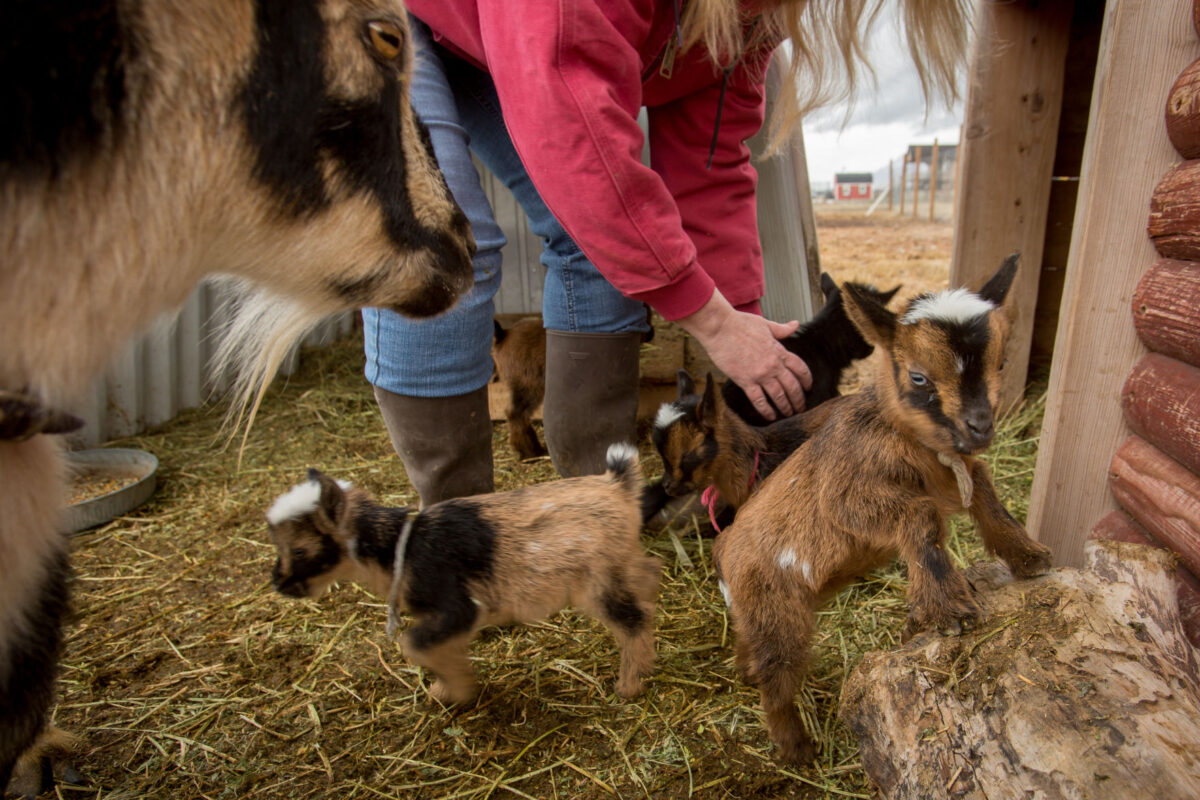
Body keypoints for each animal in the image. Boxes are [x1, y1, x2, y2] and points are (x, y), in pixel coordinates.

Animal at [265, 444, 660, 704]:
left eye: (298, 549)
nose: (279, 584)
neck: (399, 545)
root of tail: (616, 483)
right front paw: (450, 683)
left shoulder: (455, 607)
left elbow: (414, 643)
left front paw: (454, 690)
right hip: (620, 564)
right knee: (645, 587)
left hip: (600, 579)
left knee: (633, 621)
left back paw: (629, 685)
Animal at [712, 256, 1054, 765]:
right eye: (918, 377)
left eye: (1001, 363)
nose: (979, 426)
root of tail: (724, 547)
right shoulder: (848, 497)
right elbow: (921, 519)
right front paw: (949, 609)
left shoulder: (960, 475)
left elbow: (987, 495)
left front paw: (1029, 557)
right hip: (777, 615)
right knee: (777, 678)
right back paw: (797, 749)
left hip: (756, 612)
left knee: (749, 646)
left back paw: (746, 674)